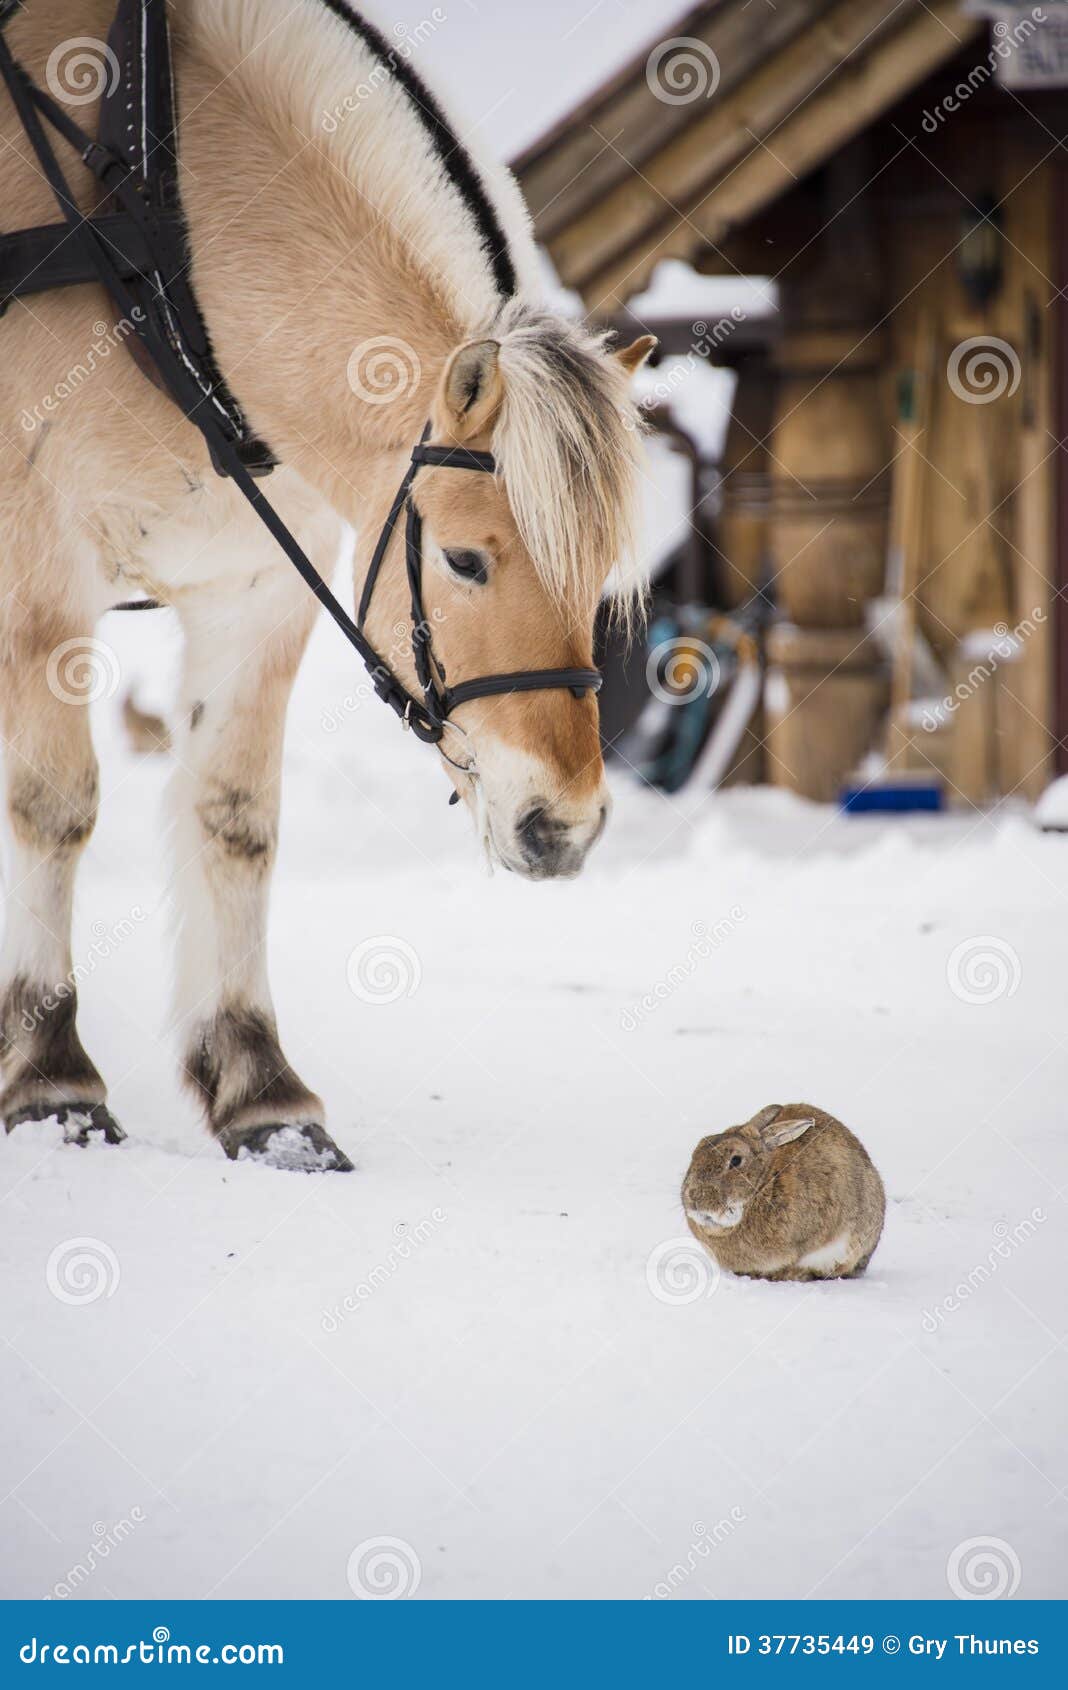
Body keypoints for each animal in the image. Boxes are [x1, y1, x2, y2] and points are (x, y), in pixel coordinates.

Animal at [0, 0, 654, 1171]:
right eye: (464, 559)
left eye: (599, 573)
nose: (564, 829)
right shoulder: (41, 575)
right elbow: (53, 805)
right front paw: (49, 1075)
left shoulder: (259, 586)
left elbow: (235, 819)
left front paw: (260, 1090)